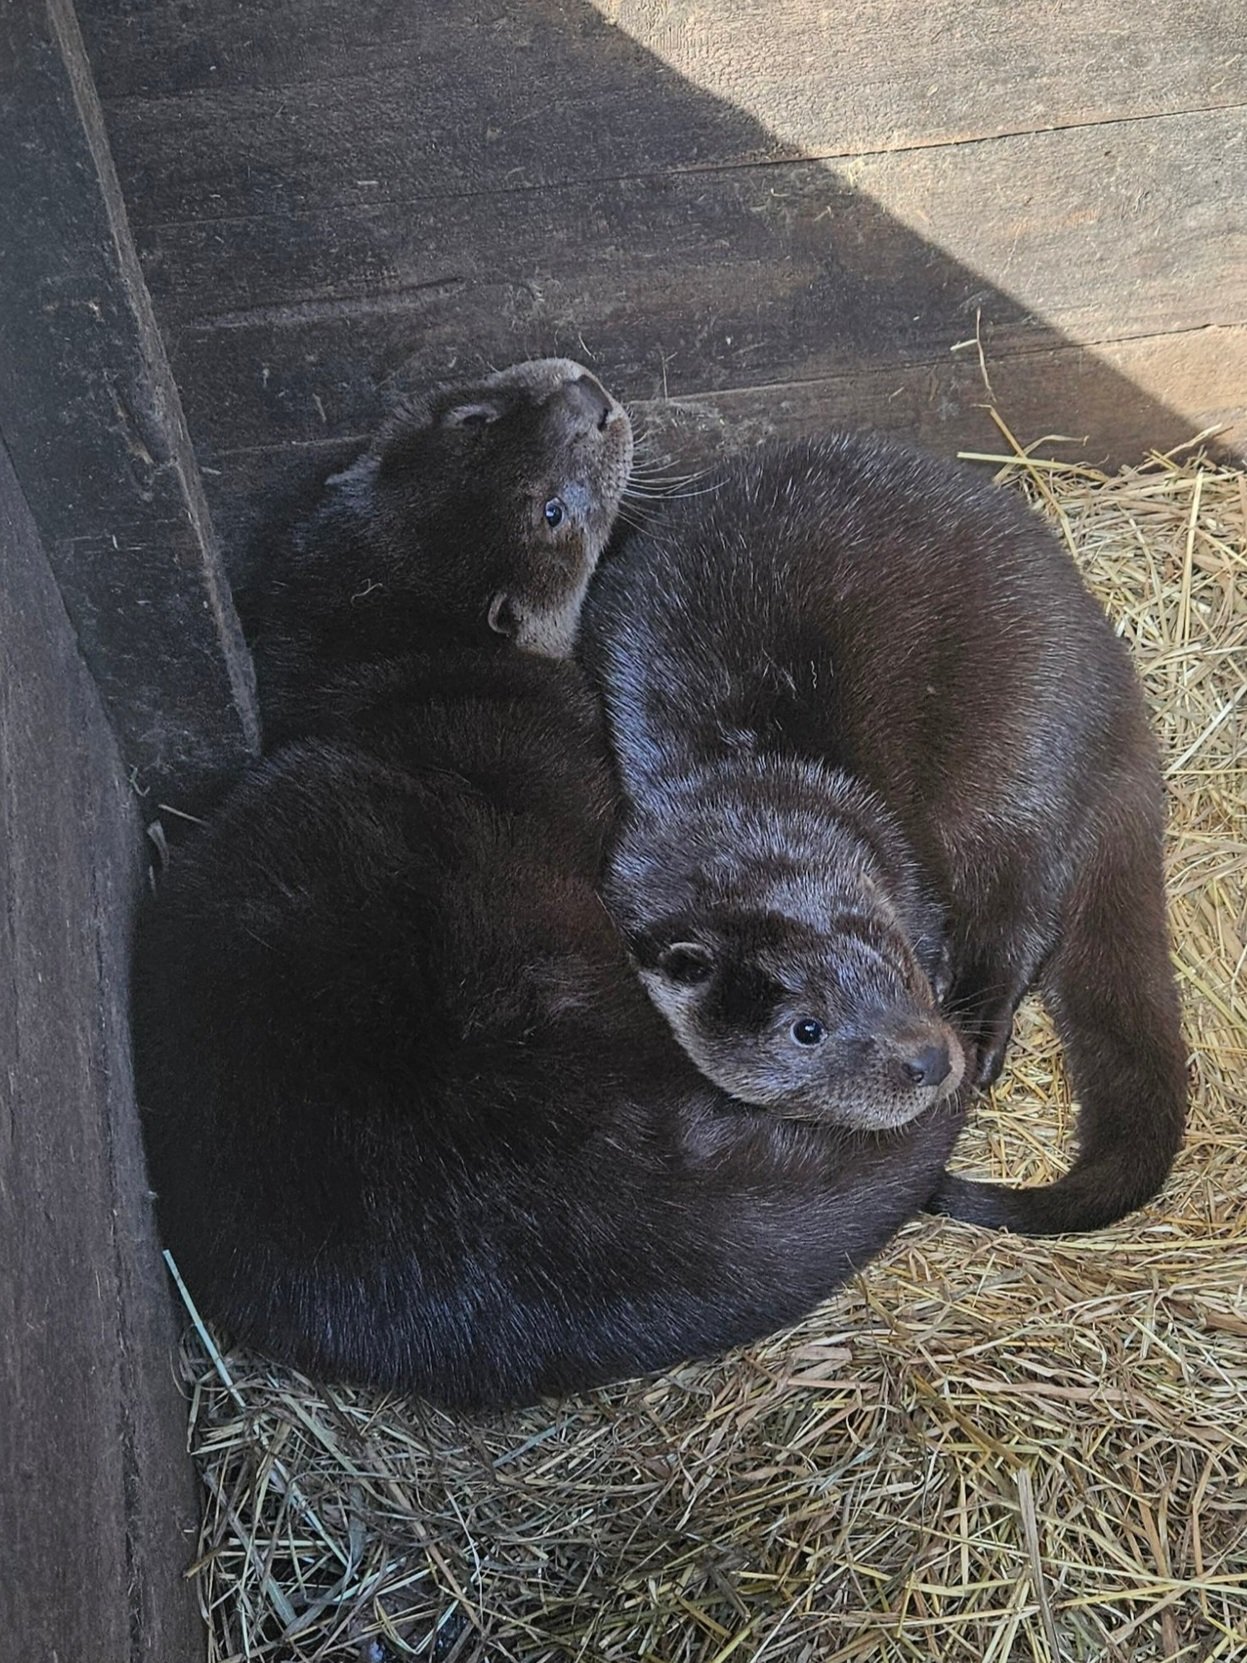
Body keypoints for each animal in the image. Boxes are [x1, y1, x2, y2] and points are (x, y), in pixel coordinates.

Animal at [581, 432, 1187, 1236]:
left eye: (890, 957)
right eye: (805, 1029)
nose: (927, 1060)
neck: (760, 776)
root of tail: (1118, 704)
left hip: (1015, 761)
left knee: (1021, 915)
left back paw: (983, 1034)